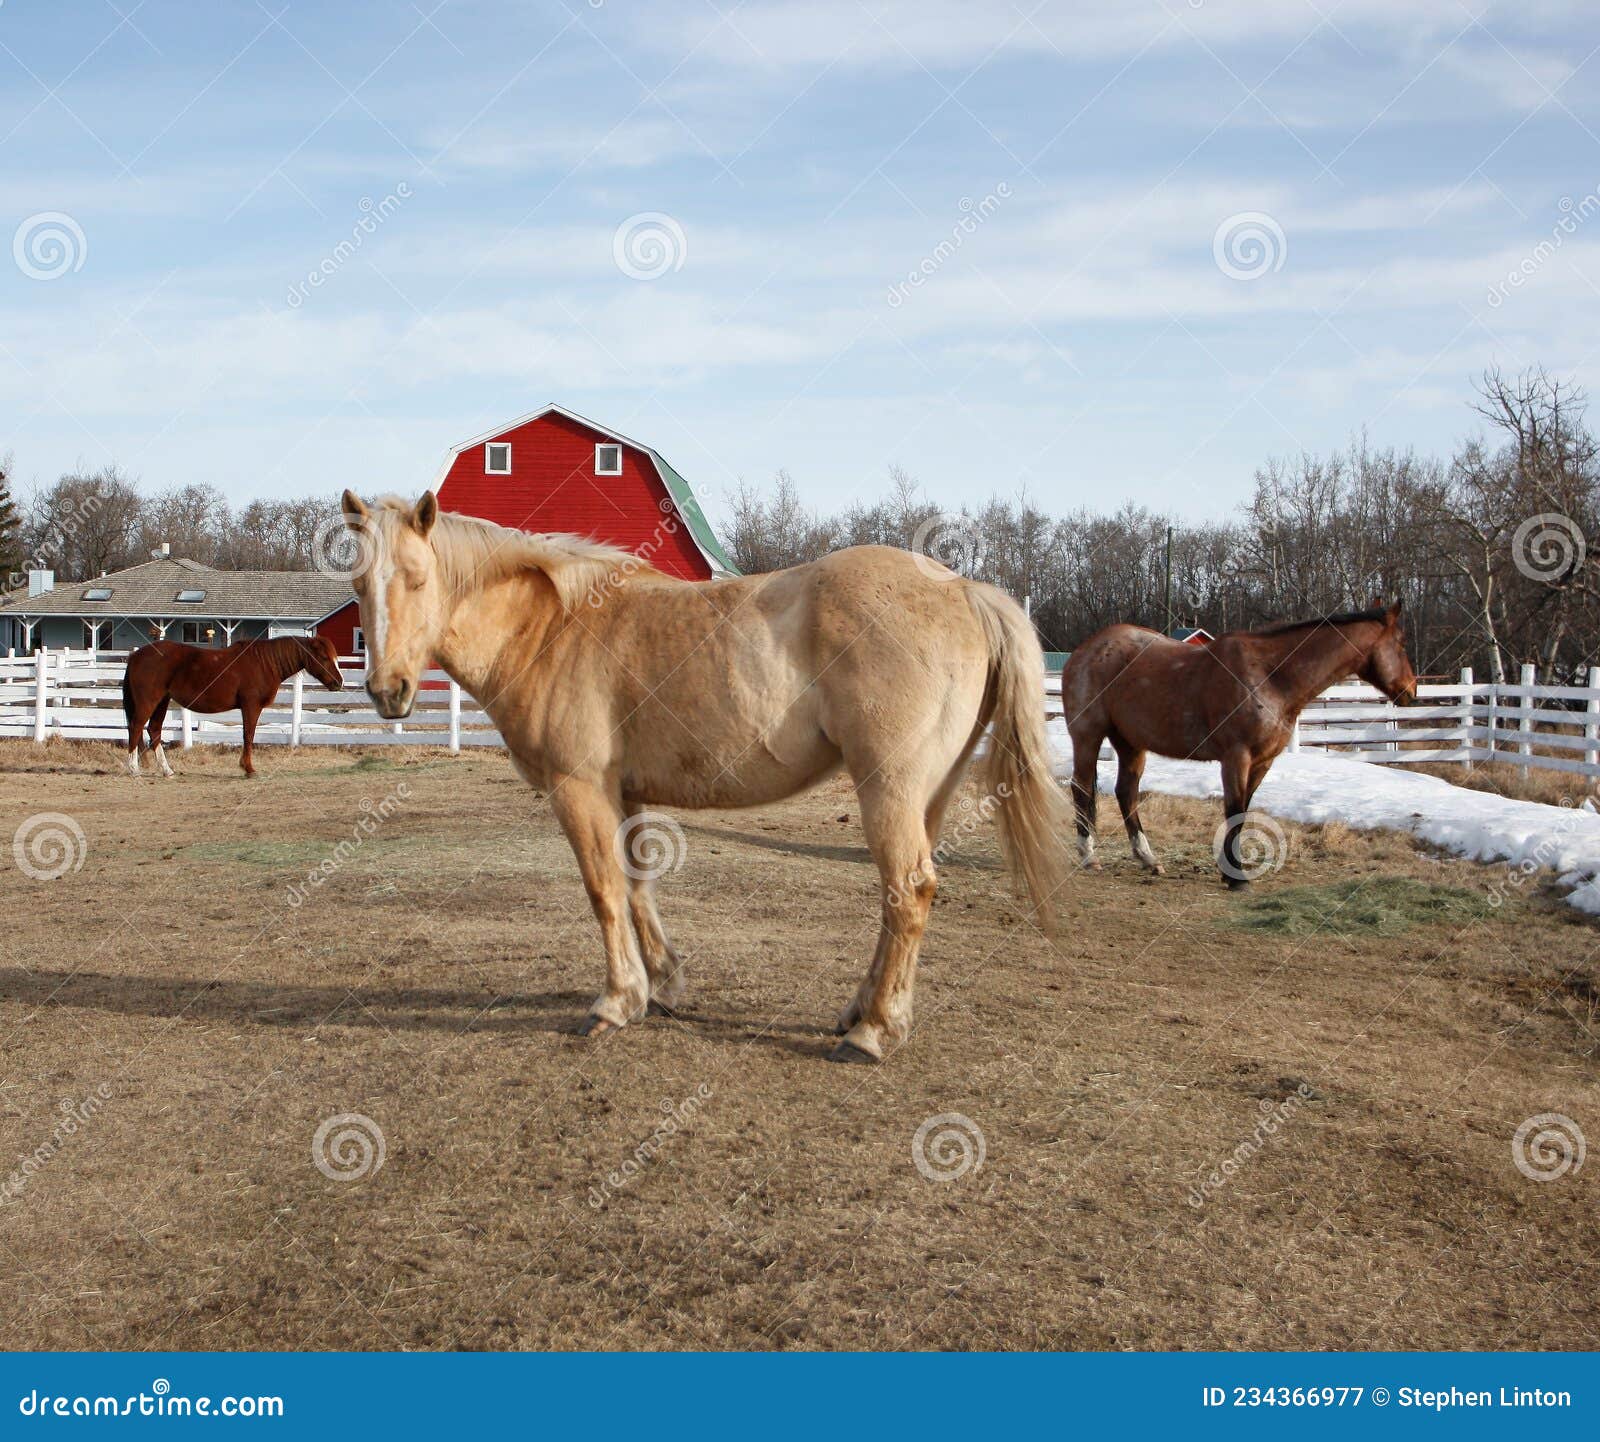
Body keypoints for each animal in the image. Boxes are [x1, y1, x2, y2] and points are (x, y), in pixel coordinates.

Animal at [121, 634, 345, 777]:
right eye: (324, 657)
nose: (339, 682)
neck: (264, 663)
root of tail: (136, 655)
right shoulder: (251, 706)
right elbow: (248, 735)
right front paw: (248, 769)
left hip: (162, 701)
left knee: (154, 730)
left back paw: (166, 770)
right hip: (149, 701)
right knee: (136, 727)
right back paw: (134, 769)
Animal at [339, 490, 1073, 1063]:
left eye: (417, 579)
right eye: (359, 586)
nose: (387, 692)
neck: (553, 628)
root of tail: (962, 589)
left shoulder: (580, 790)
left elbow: (603, 890)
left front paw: (614, 1003)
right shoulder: (624, 793)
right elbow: (636, 887)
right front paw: (660, 985)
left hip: (888, 789)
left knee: (909, 890)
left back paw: (874, 1034)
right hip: (928, 794)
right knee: (903, 899)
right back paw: (860, 1012)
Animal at [1063, 604, 1417, 887]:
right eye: (1401, 643)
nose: (1411, 691)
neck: (1271, 676)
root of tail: (1086, 650)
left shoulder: (1262, 761)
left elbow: (1244, 810)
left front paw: (1229, 870)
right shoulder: (1236, 758)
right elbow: (1233, 808)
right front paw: (1235, 878)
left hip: (1130, 743)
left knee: (1126, 793)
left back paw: (1148, 859)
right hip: (1088, 736)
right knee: (1081, 788)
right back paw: (1089, 856)